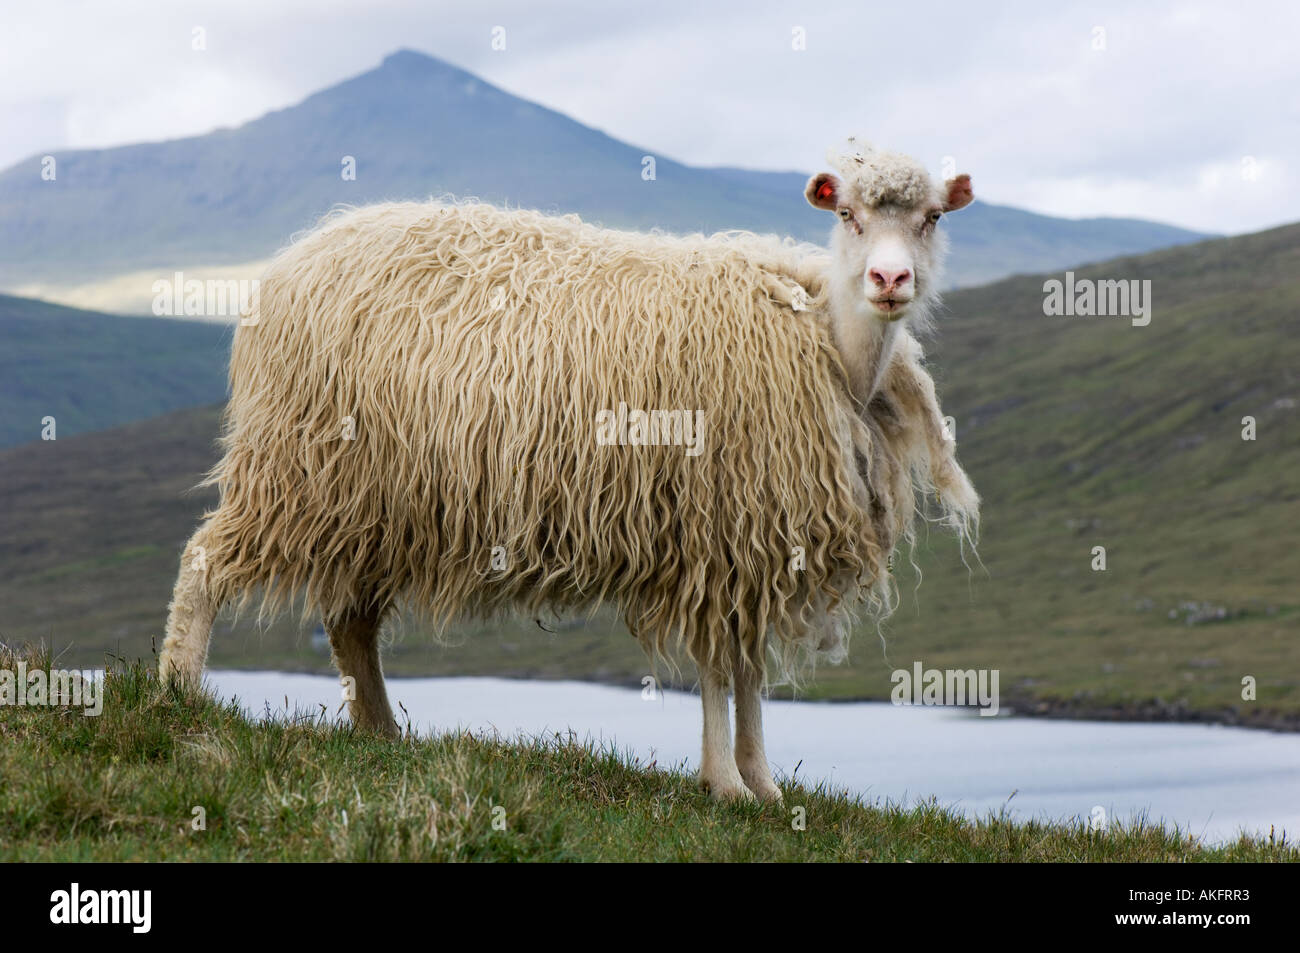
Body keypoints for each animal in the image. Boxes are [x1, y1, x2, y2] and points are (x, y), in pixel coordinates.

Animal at [160, 139, 978, 802]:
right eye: (847, 214)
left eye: (933, 217)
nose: (890, 279)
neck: (826, 340)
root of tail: (294, 259)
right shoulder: (718, 531)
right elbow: (719, 668)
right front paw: (725, 783)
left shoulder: (760, 537)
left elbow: (747, 669)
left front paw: (763, 784)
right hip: (298, 469)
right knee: (205, 559)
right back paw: (178, 693)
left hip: (378, 500)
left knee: (351, 622)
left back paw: (380, 730)